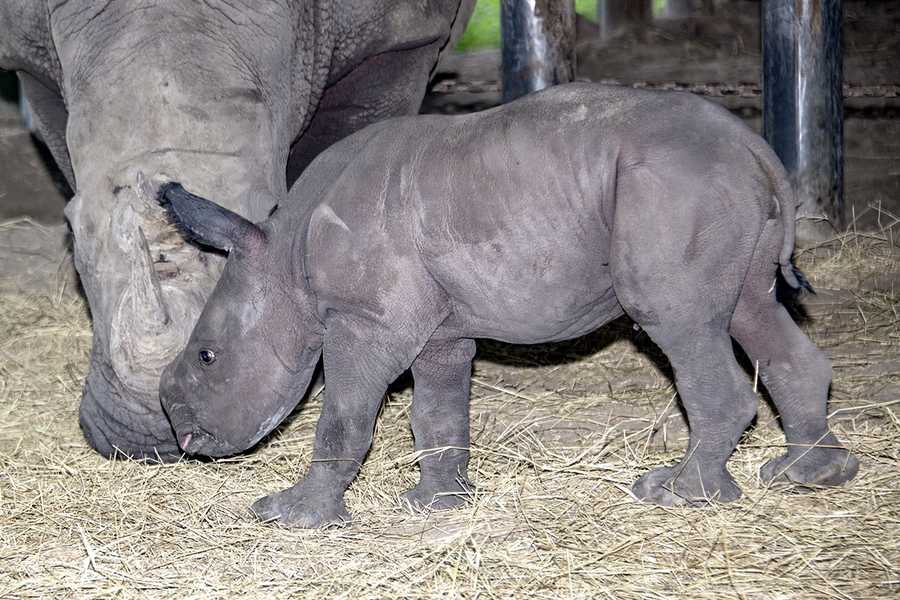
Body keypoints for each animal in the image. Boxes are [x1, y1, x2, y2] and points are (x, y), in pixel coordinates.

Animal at [158, 83, 858, 527]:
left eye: (208, 358)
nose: (181, 431)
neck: (283, 263)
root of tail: (754, 148)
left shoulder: (366, 322)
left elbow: (343, 416)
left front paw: (293, 516)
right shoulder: (439, 325)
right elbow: (437, 412)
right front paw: (437, 504)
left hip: (677, 186)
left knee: (683, 323)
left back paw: (679, 495)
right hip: (715, 189)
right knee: (750, 310)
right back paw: (808, 474)